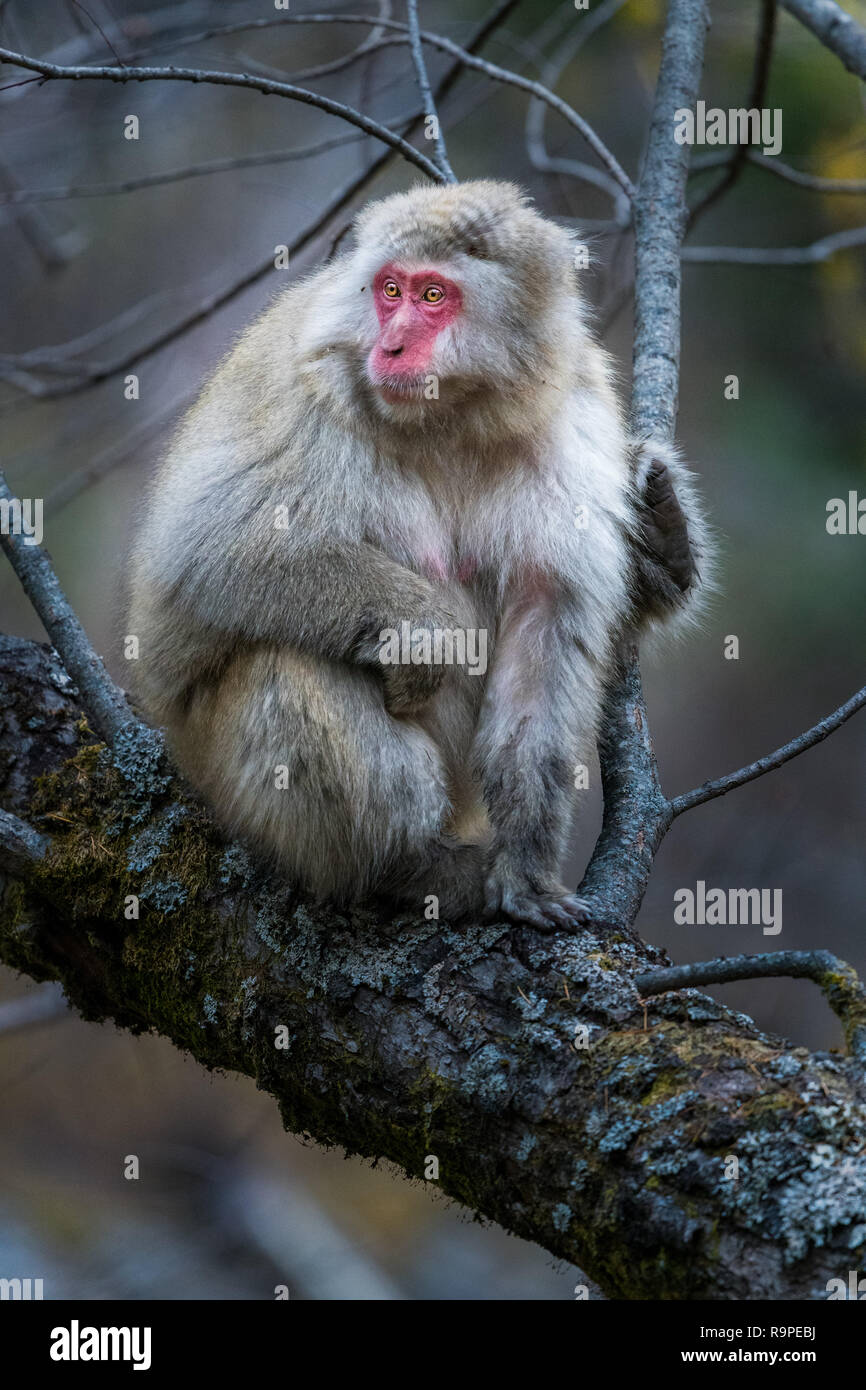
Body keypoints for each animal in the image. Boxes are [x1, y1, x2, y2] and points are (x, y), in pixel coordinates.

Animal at [127, 180, 708, 931]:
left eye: (434, 296)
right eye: (390, 290)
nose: (393, 345)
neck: (452, 417)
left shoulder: (572, 425)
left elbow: (547, 624)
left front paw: (527, 868)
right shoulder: (303, 391)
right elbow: (204, 555)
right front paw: (428, 633)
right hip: (221, 775)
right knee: (285, 663)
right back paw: (402, 867)